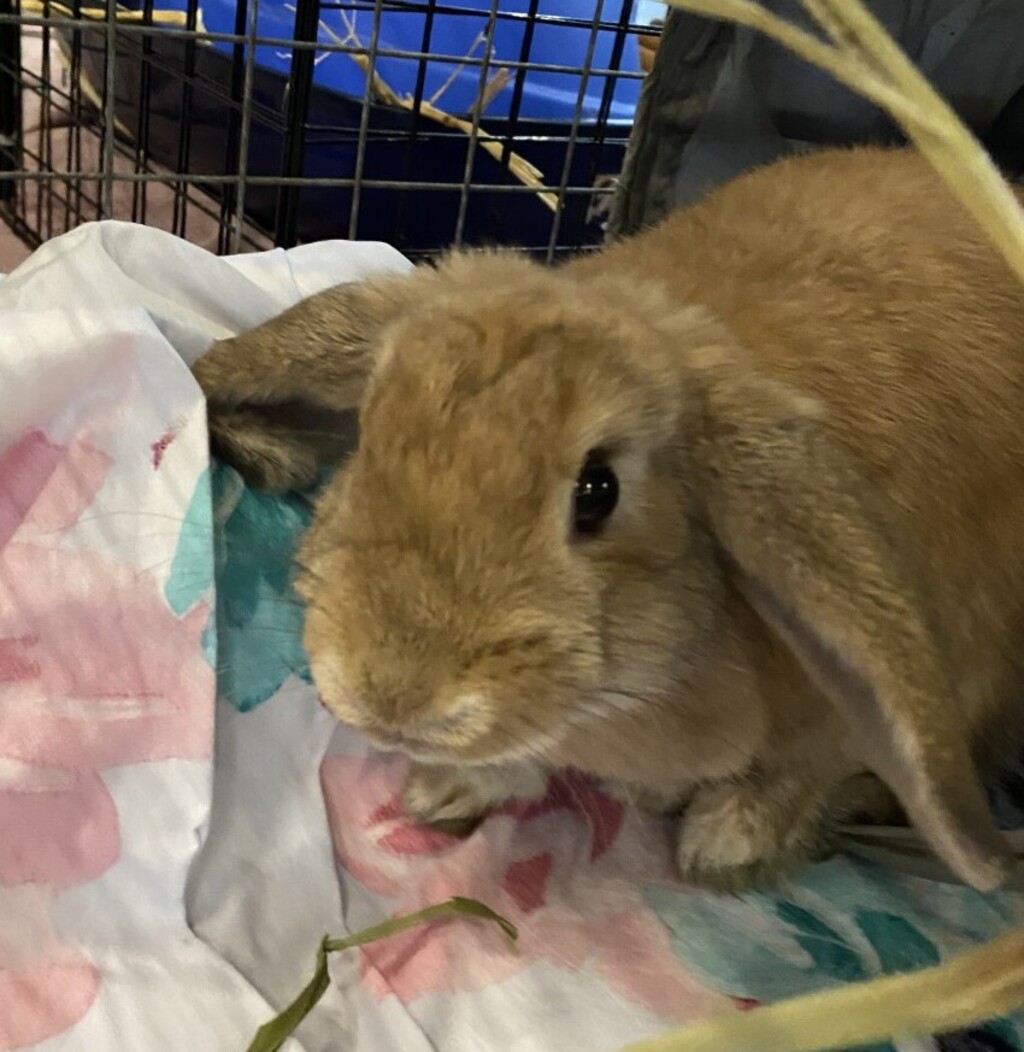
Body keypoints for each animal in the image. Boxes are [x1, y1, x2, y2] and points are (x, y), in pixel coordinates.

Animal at [193, 145, 1024, 893]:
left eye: (599, 491)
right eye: (367, 437)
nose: (393, 696)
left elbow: (819, 765)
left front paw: (730, 844)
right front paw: (448, 791)